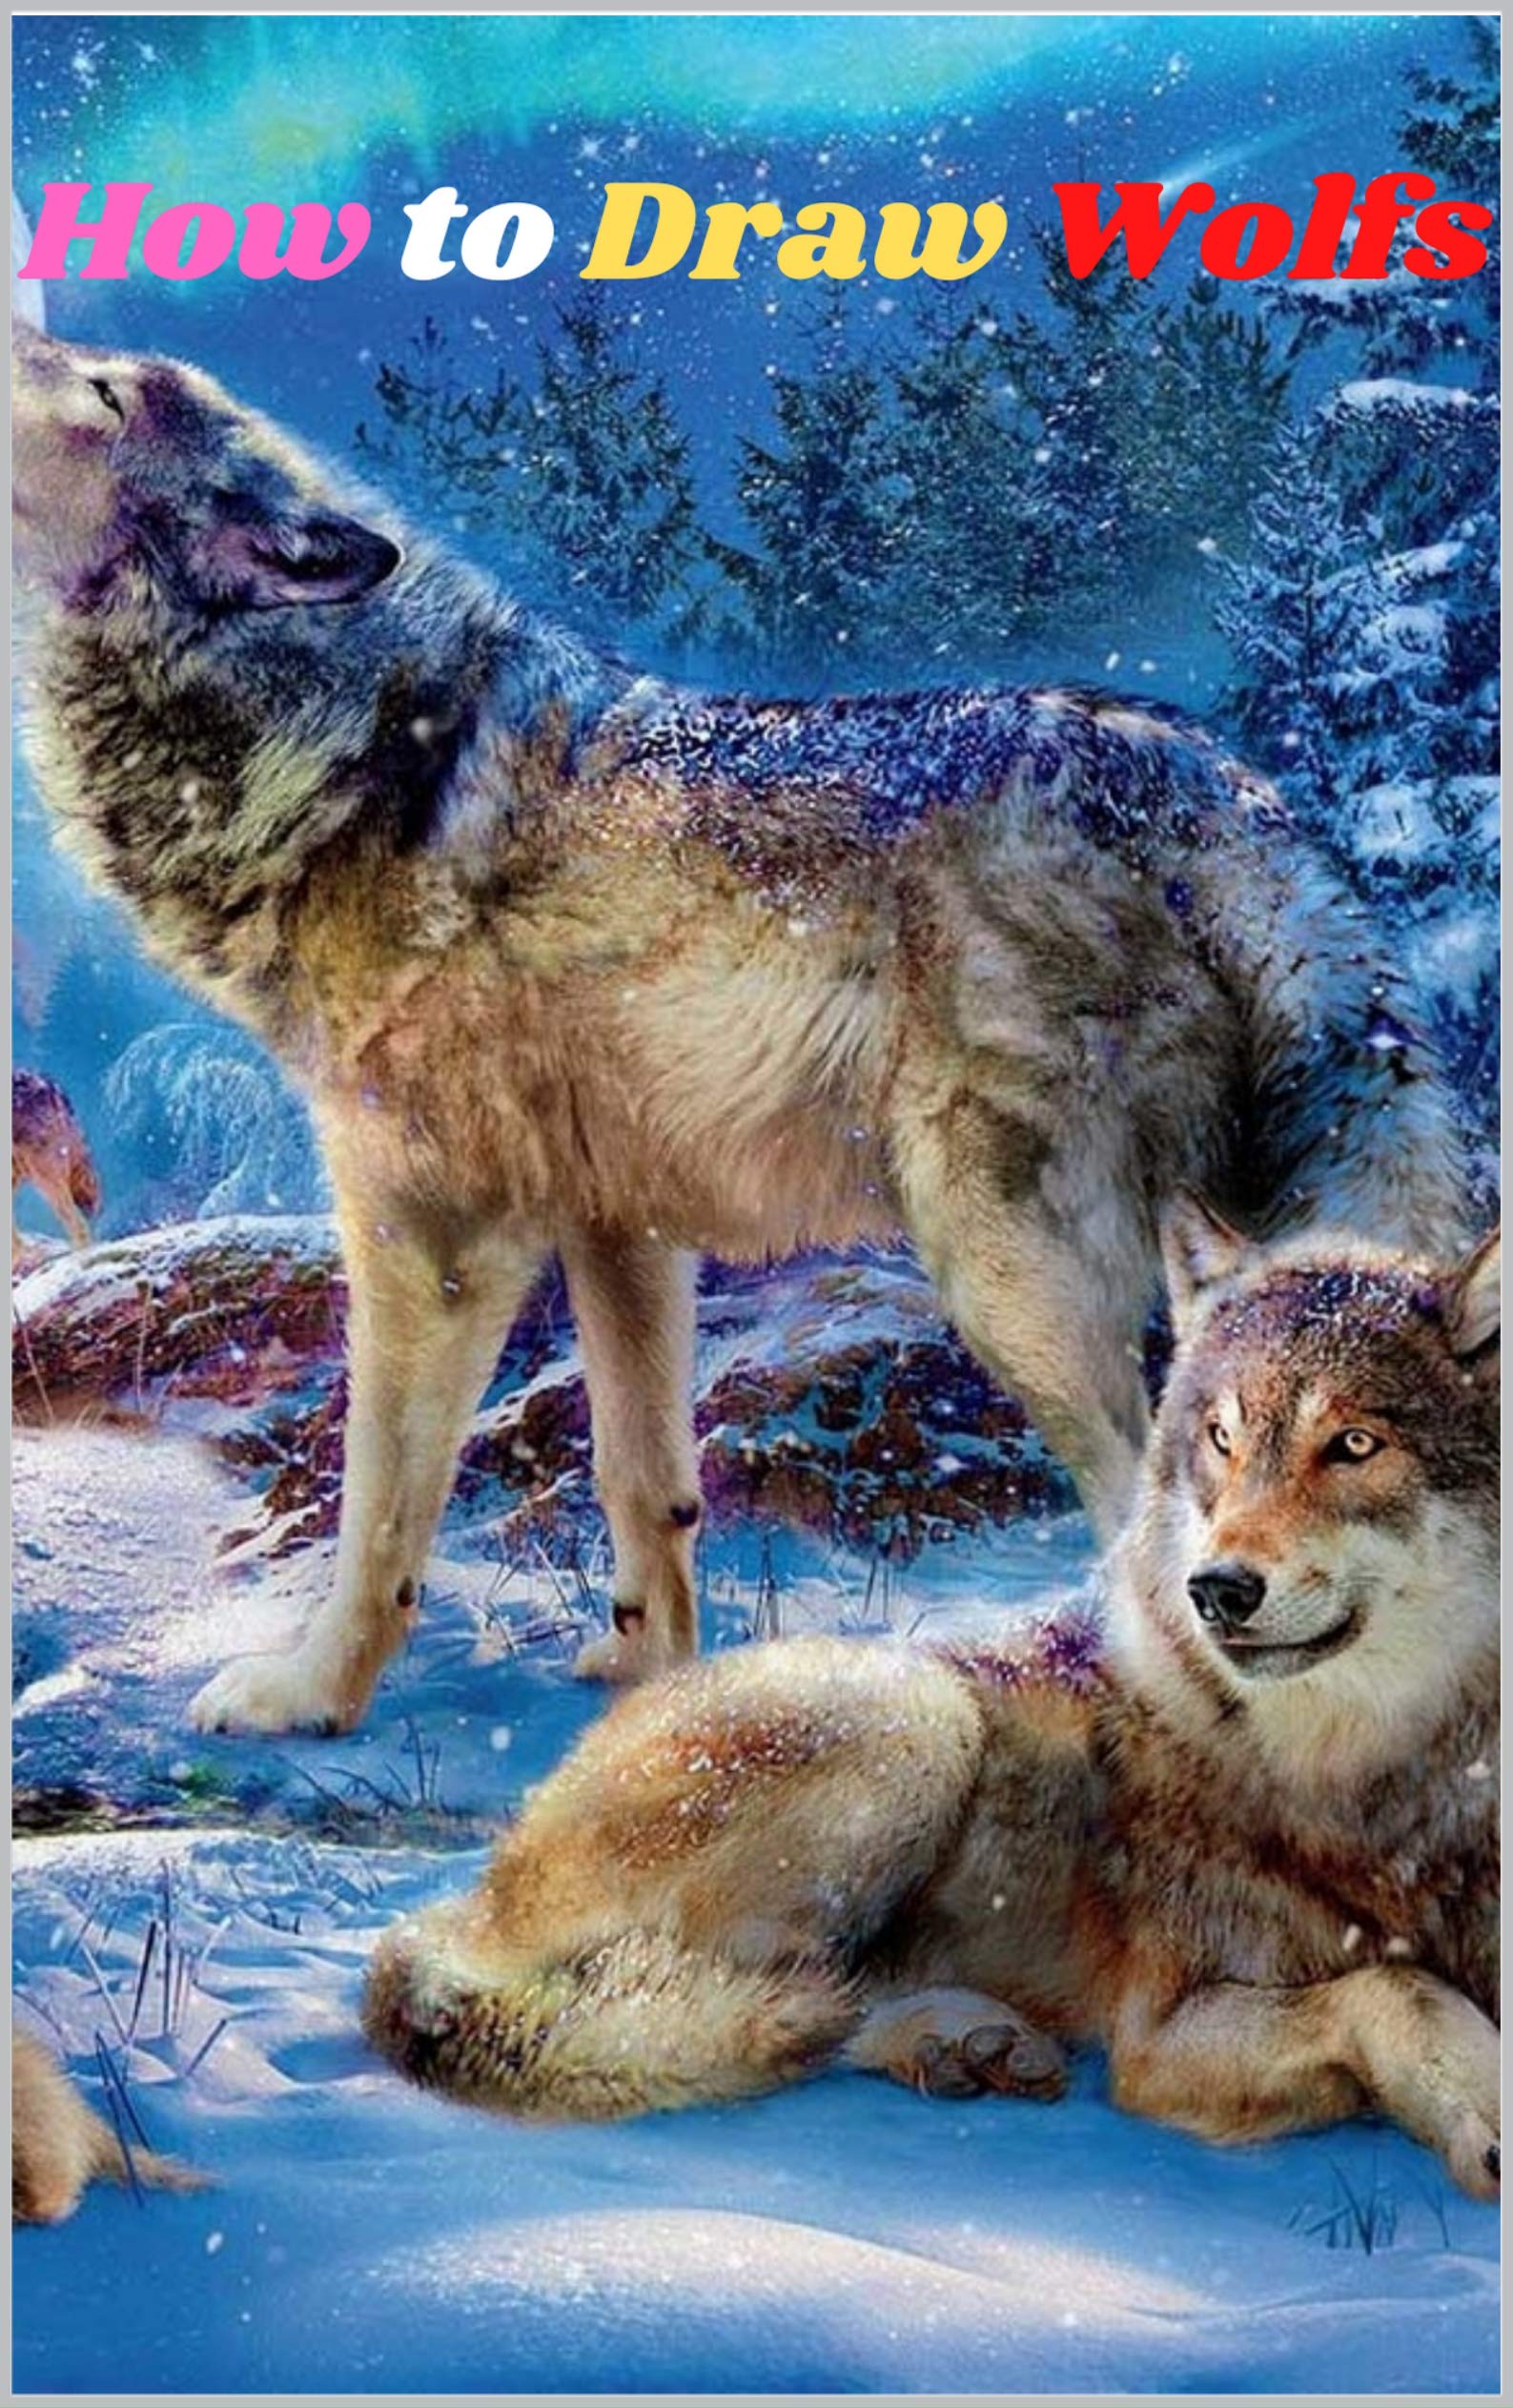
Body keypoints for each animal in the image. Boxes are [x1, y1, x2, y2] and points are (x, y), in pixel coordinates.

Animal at [362, 1203, 1500, 2197]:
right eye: (1222, 1438)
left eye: (1353, 1444)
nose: (1215, 1587)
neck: (1381, 1784)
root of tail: (460, 1900)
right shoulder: (1162, 2034)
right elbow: (1393, 1986)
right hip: (913, 1719)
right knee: (744, 2001)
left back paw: (966, 2044)